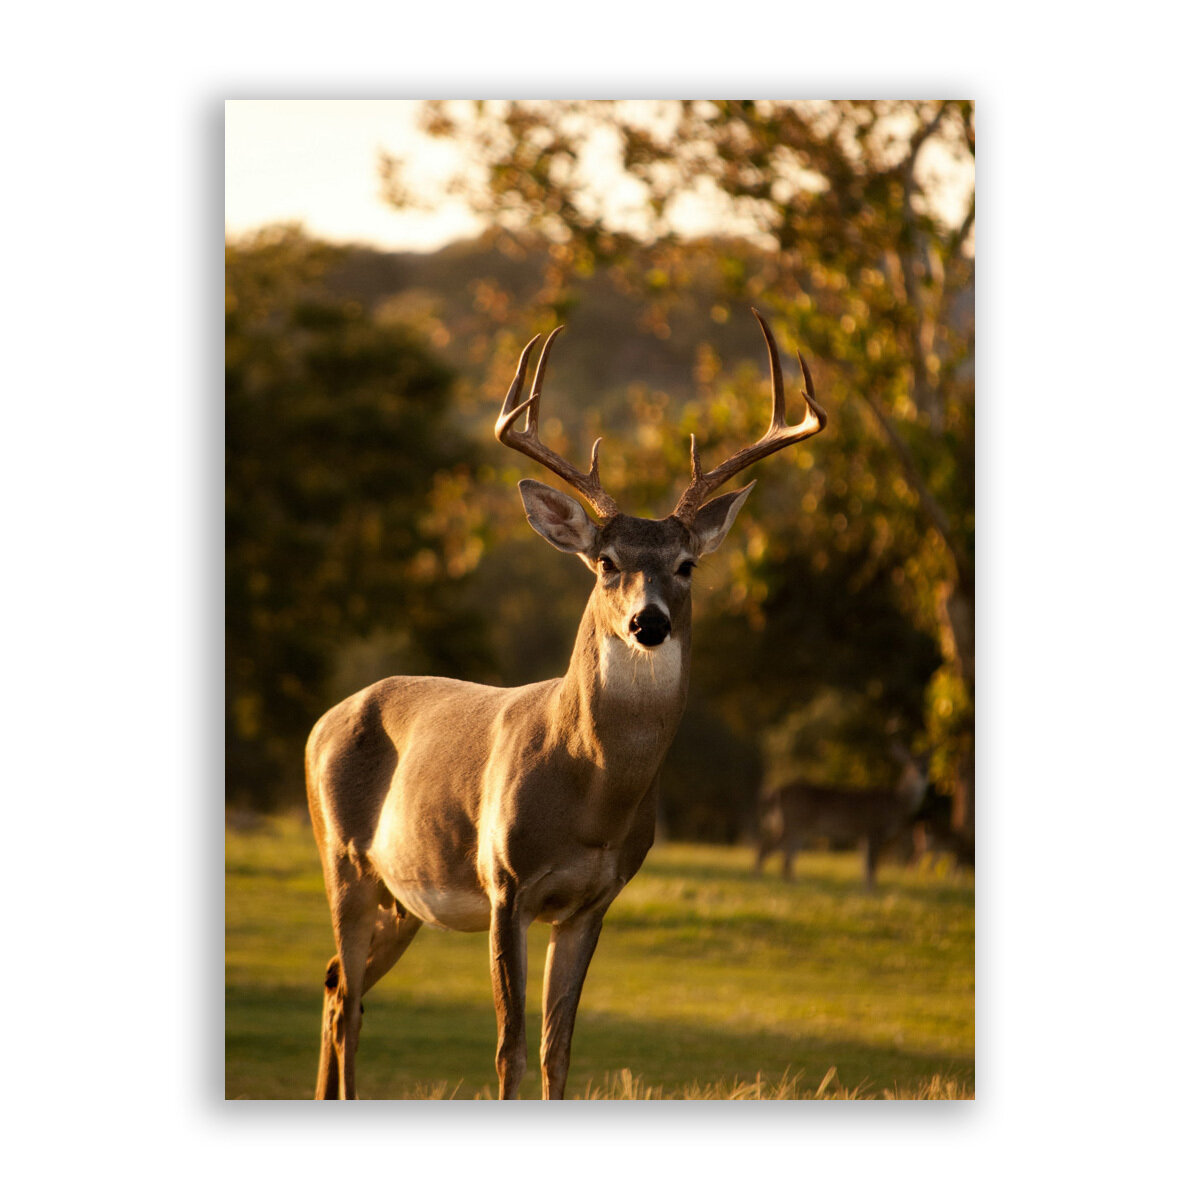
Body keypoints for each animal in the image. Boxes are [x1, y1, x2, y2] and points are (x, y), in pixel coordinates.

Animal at [305, 309, 827, 1100]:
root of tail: (322, 722)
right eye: (606, 562)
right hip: (343, 859)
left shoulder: (592, 902)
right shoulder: (505, 884)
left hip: (403, 896)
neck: (590, 796)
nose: (649, 622)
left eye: (686, 564)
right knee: (348, 997)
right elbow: (509, 1048)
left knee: (339, 985)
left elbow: (558, 1050)